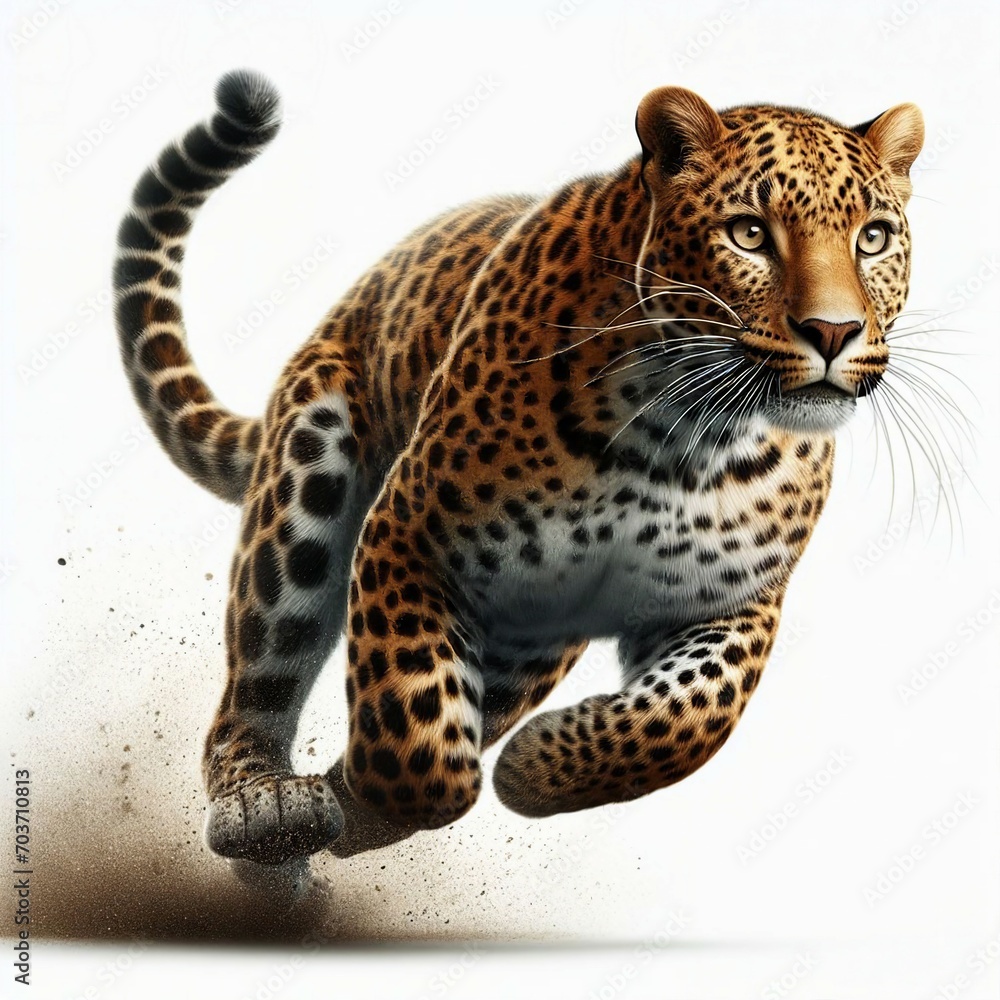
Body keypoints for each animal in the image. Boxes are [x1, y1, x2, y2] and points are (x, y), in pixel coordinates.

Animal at [112, 69, 924, 866]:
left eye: (873, 238)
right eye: (750, 234)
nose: (834, 332)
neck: (688, 437)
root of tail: (355, 296)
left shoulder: (733, 602)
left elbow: (690, 718)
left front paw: (533, 767)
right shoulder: (406, 533)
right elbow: (414, 729)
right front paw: (376, 789)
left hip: (532, 637)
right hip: (309, 466)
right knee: (257, 677)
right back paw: (265, 803)